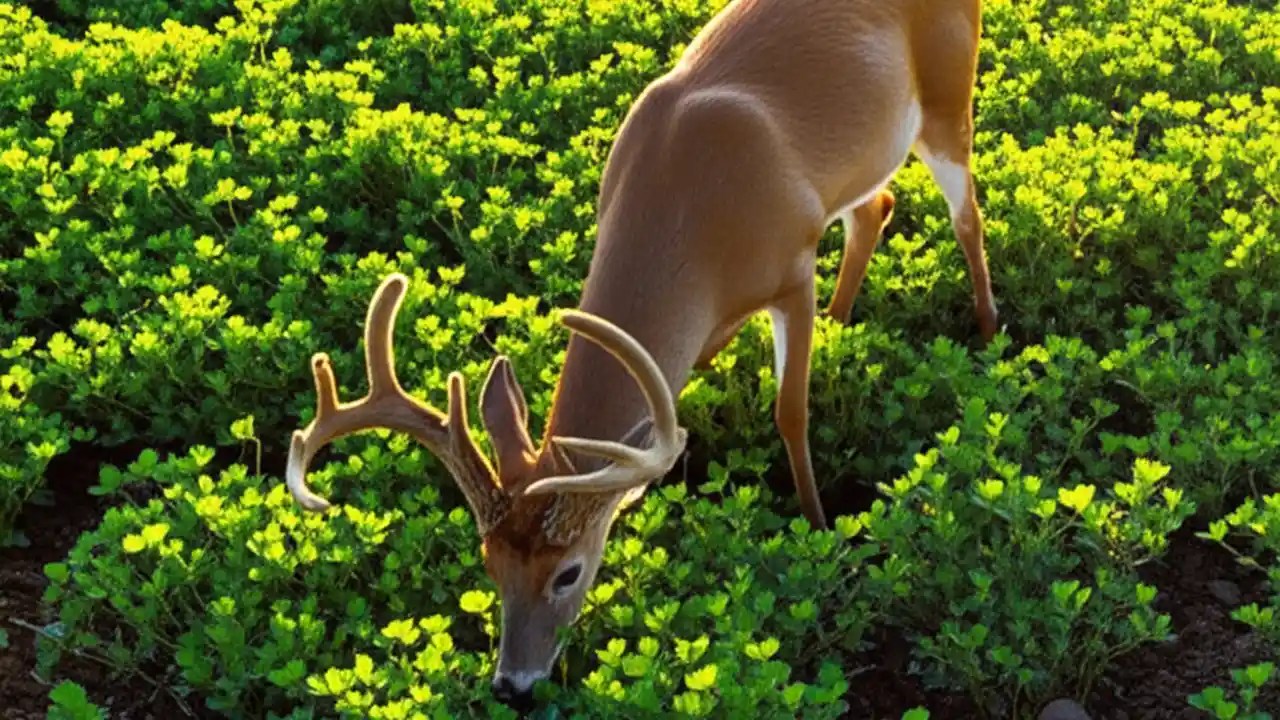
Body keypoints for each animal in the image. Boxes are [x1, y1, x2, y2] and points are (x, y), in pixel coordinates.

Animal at [284, 0, 996, 708]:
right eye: (490, 563)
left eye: (568, 572)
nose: (513, 684)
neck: (692, 216)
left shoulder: (792, 269)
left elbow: (789, 412)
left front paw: (819, 528)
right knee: (877, 205)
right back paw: (844, 321)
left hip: (947, 95)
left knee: (966, 216)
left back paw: (989, 334)